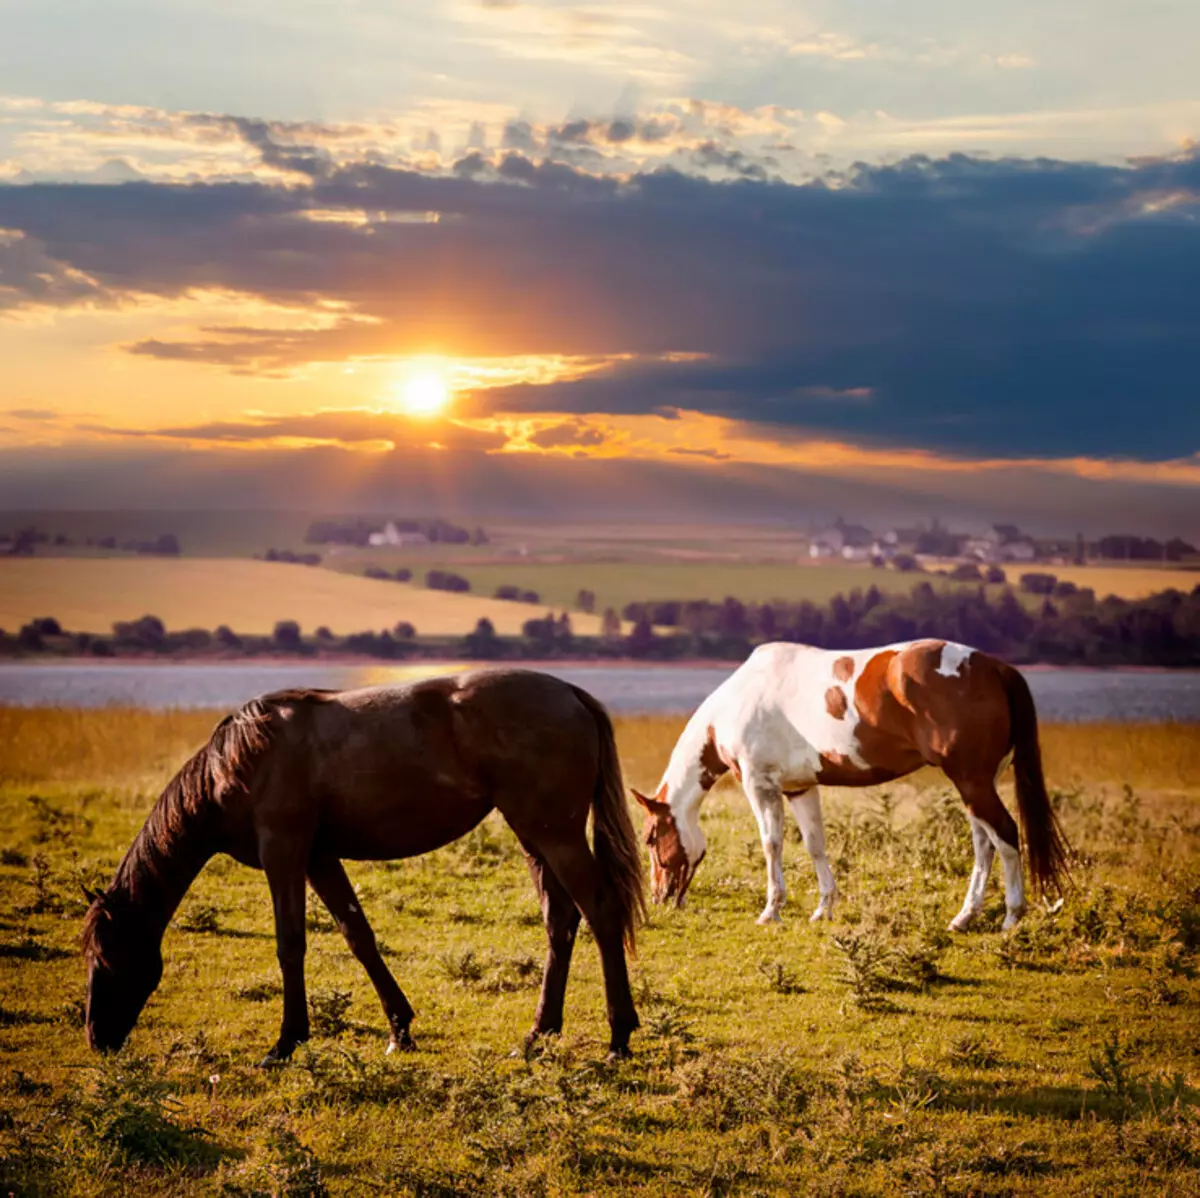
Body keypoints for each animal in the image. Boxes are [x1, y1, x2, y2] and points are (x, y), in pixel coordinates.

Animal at [82, 677, 648, 1061]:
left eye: (106, 958)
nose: (95, 1038)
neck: (242, 761)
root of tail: (571, 693)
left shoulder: (283, 852)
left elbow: (290, 944)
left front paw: (286, 1042)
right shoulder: (319, 858)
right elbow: (359, 936)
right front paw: (400, 1029)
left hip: (556, 837)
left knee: (600, 912)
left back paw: (618, 1036)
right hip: (535, 840)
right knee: (561, 922)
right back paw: (538, 1033)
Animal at [633, 643, 1075, 931]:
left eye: (652, 838)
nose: (659, 896)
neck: (740, 701)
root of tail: (995, 668)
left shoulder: (760, 786)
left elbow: (771, 845)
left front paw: (771, 911)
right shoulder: (800, 788)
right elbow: (815, 845)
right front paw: (823, 909)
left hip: (972, 783)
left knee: (1005, 836)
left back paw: (1012, 917)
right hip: (977, 786)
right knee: (985, 845)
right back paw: (964, 918)